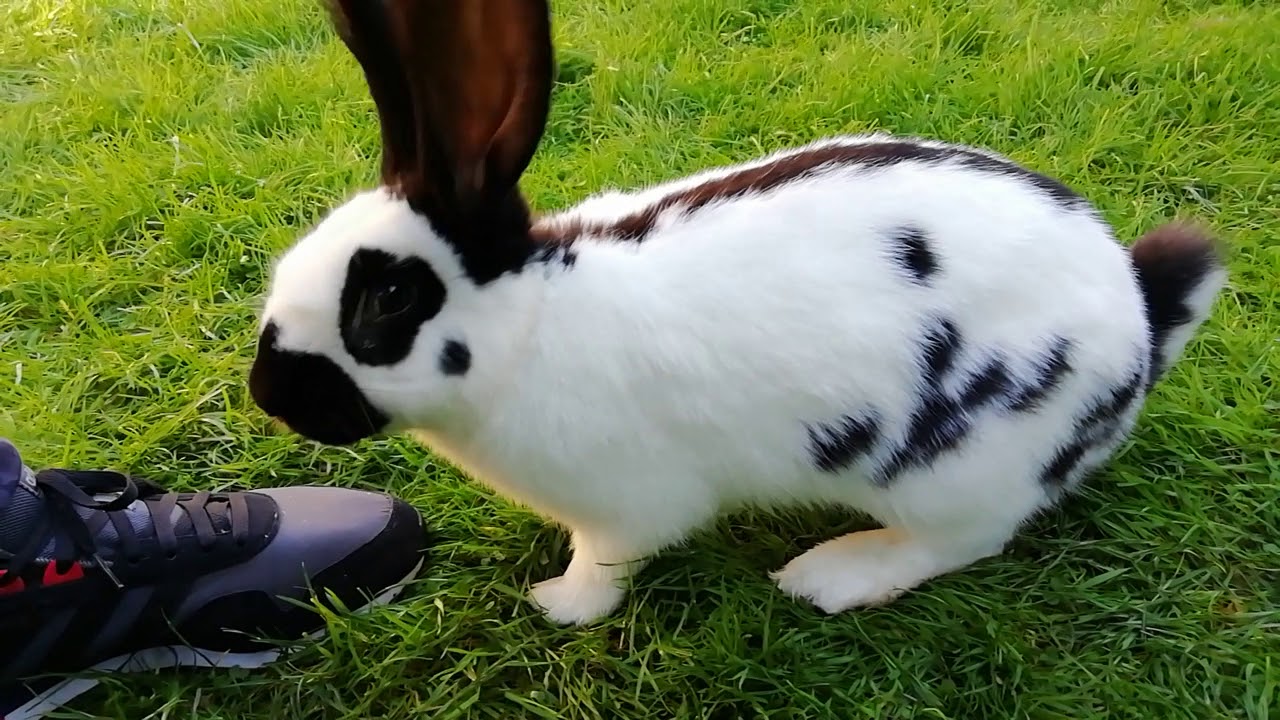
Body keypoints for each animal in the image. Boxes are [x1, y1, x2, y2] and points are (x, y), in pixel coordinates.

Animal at [248, 0, 1227, 626]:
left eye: (386, 300)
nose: (267, 393)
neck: (529, 326)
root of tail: (1140, 324)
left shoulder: (627, 503)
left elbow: (606, 560)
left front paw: (558, 607)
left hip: (959, 472)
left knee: (966, 539)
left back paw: (833, 575)